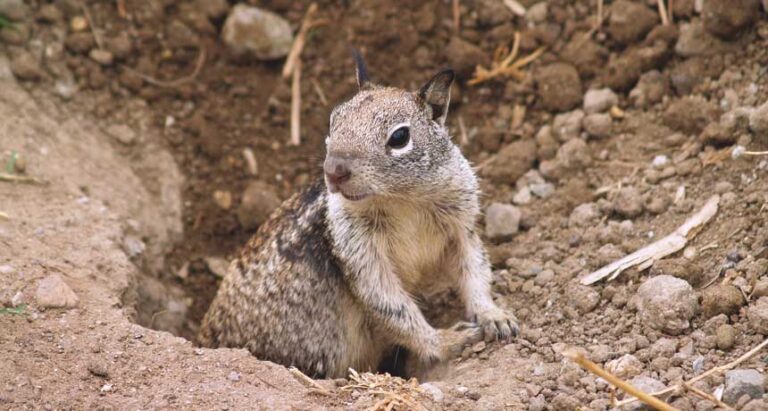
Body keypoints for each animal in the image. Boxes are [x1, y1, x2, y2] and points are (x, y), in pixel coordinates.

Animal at [198, 53, 519, 379]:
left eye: (400, 136)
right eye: (333, 120)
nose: (334, 171)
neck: (401, 200)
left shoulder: (462, 223)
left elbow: (475, 269)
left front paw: (496, 317)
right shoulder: (359, 252)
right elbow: (392, 307)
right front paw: (448, 340)